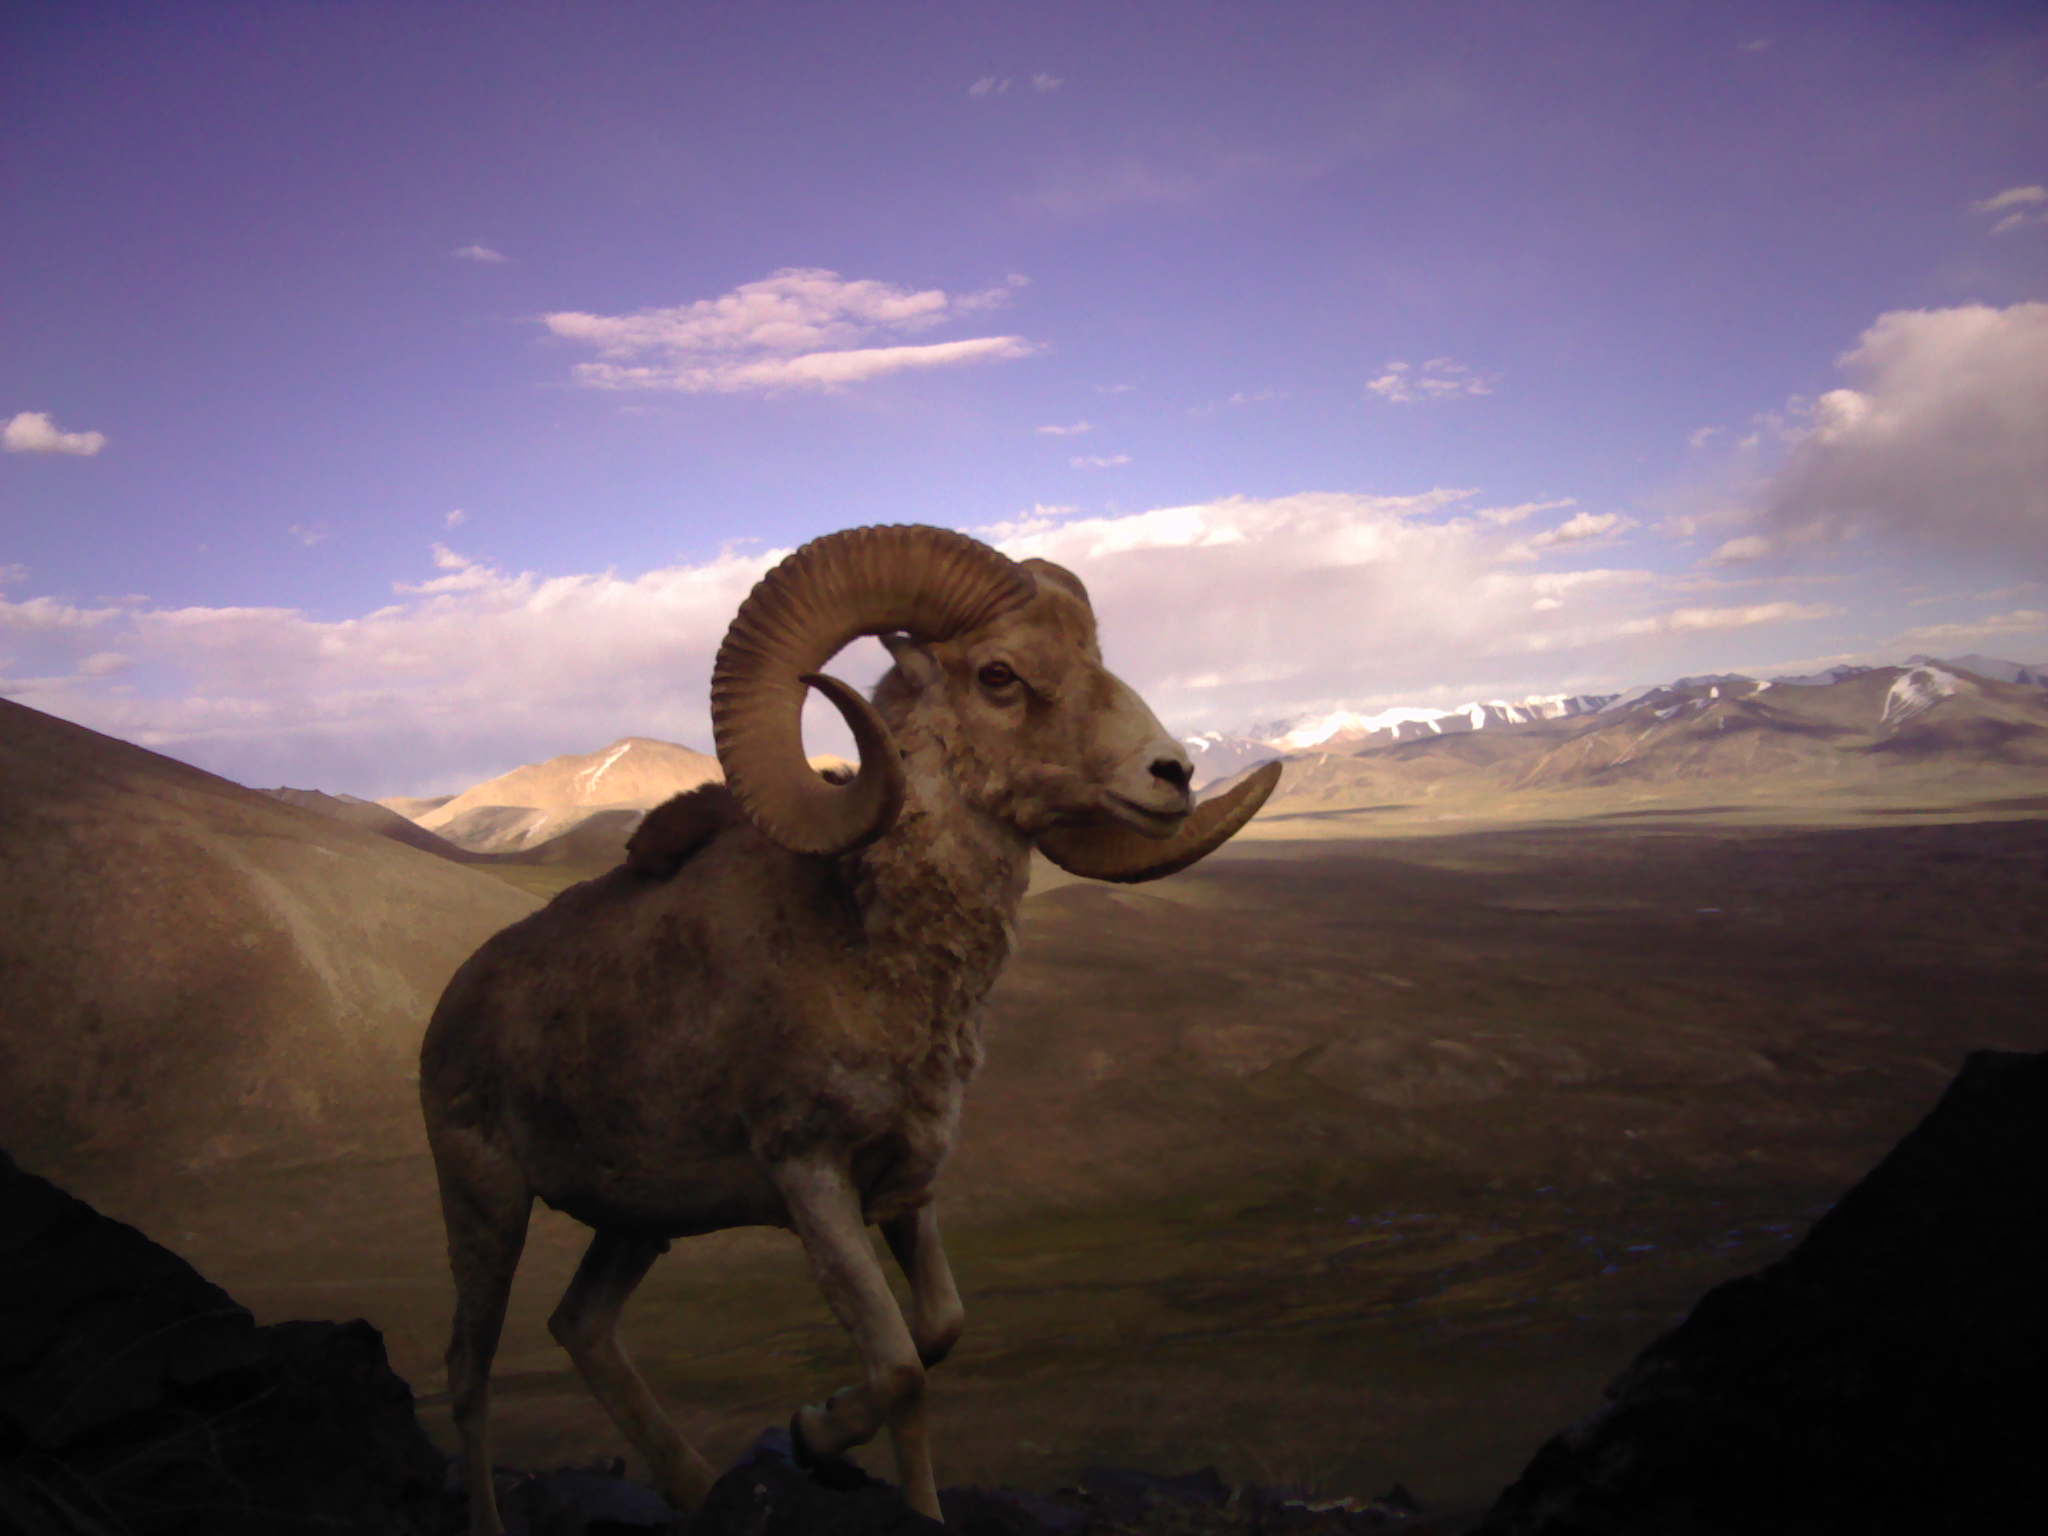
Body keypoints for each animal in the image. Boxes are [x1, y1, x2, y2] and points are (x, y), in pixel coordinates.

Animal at [420, 524, 1282, 1533]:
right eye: (1000, 675)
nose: (1172, 775)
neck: (872, 952)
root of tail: (453, 1002)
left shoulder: (907, 1186)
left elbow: (938, 1332)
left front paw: (829, 1445)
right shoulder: (813, 1184)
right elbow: (902, 1368)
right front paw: (815, 1437)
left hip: (637, 1224)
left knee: (581, 1327)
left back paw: (697, 1486)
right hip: (487, 1206)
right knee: (469, 1373)